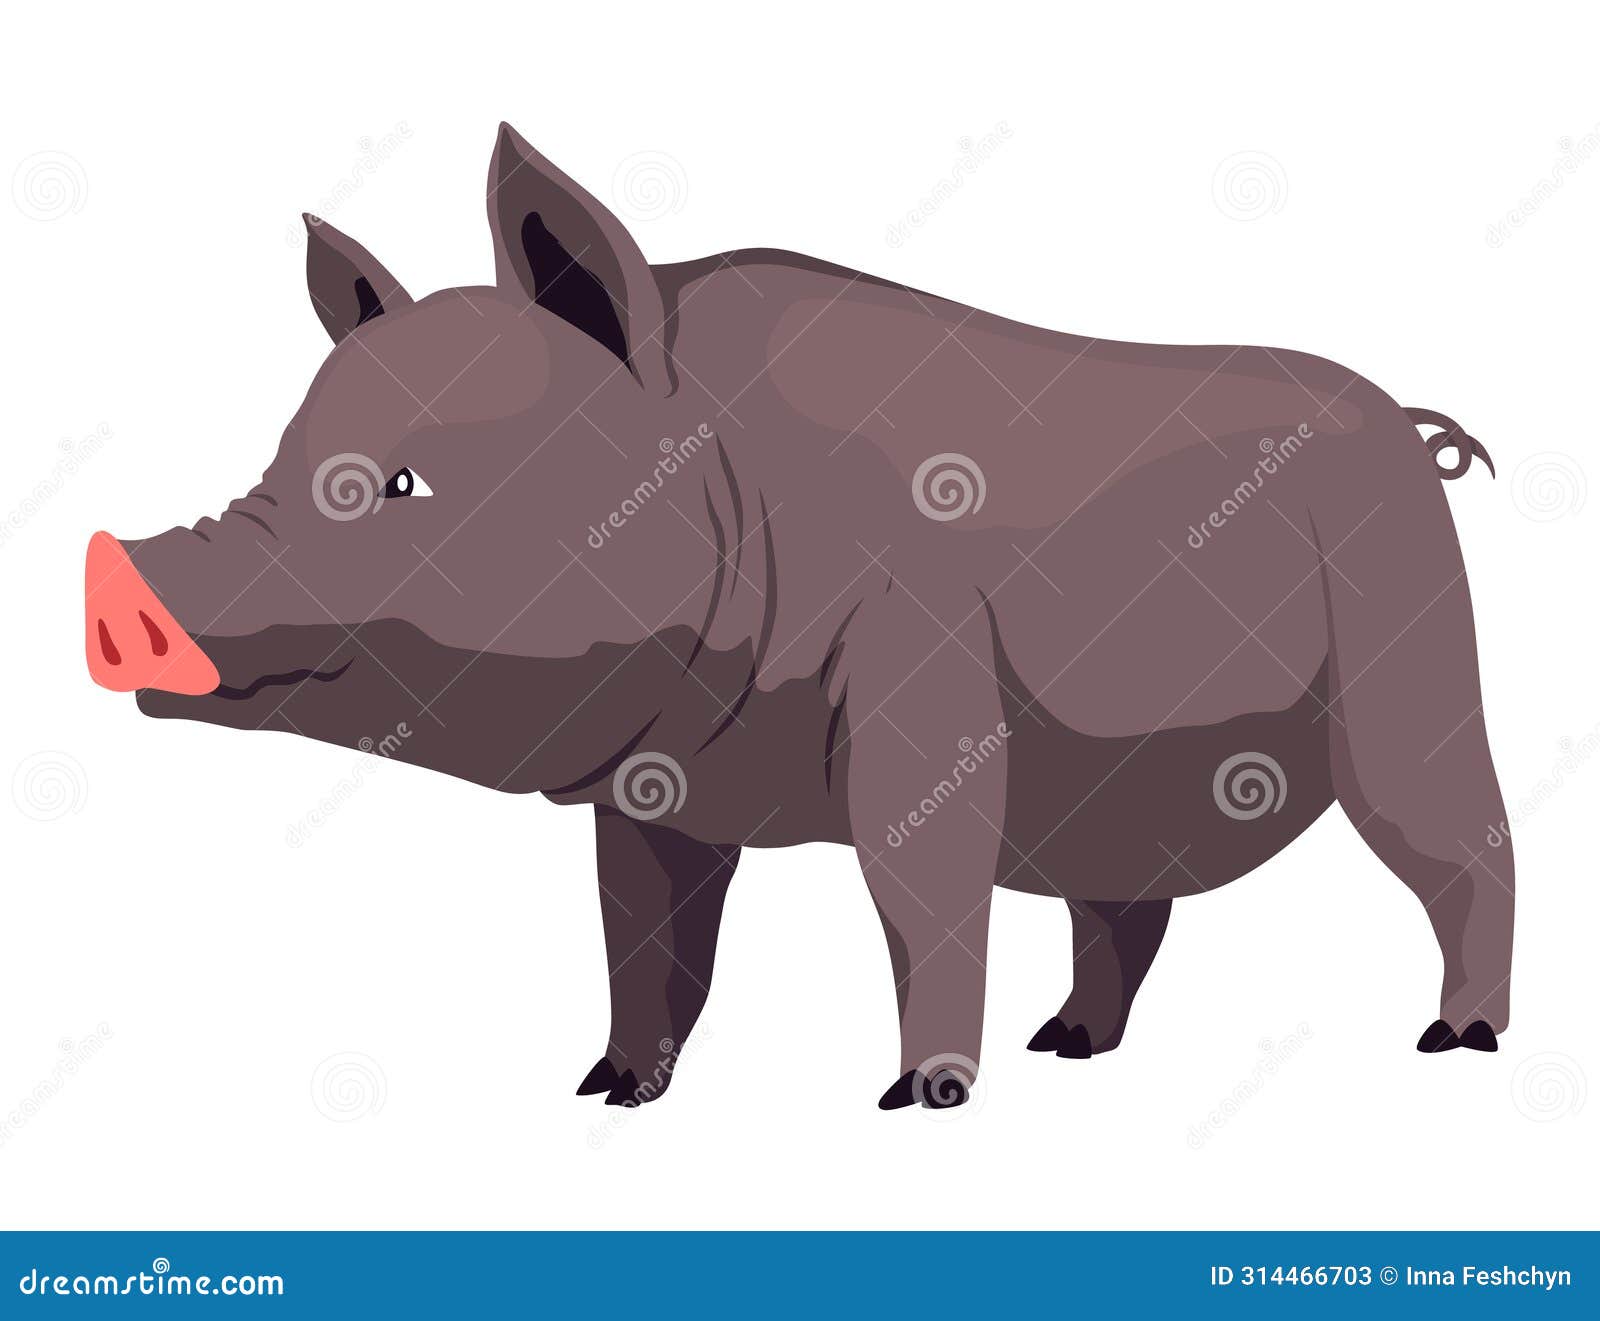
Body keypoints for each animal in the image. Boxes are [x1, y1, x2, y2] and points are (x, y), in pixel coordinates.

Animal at [85, 123, 1513, 1109]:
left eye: (403, 482)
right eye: (282, 460)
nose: (111, 575)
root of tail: (1412, 429)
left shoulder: (924, 679)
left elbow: (919, 880)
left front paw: (917, 1102)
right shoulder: (651, 789)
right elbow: (644, 929)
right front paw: (607, 1091)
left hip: (1416, 648)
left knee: (1462, 837)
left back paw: (1457, 1040)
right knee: (1122, 904)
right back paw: (1067, 1049)